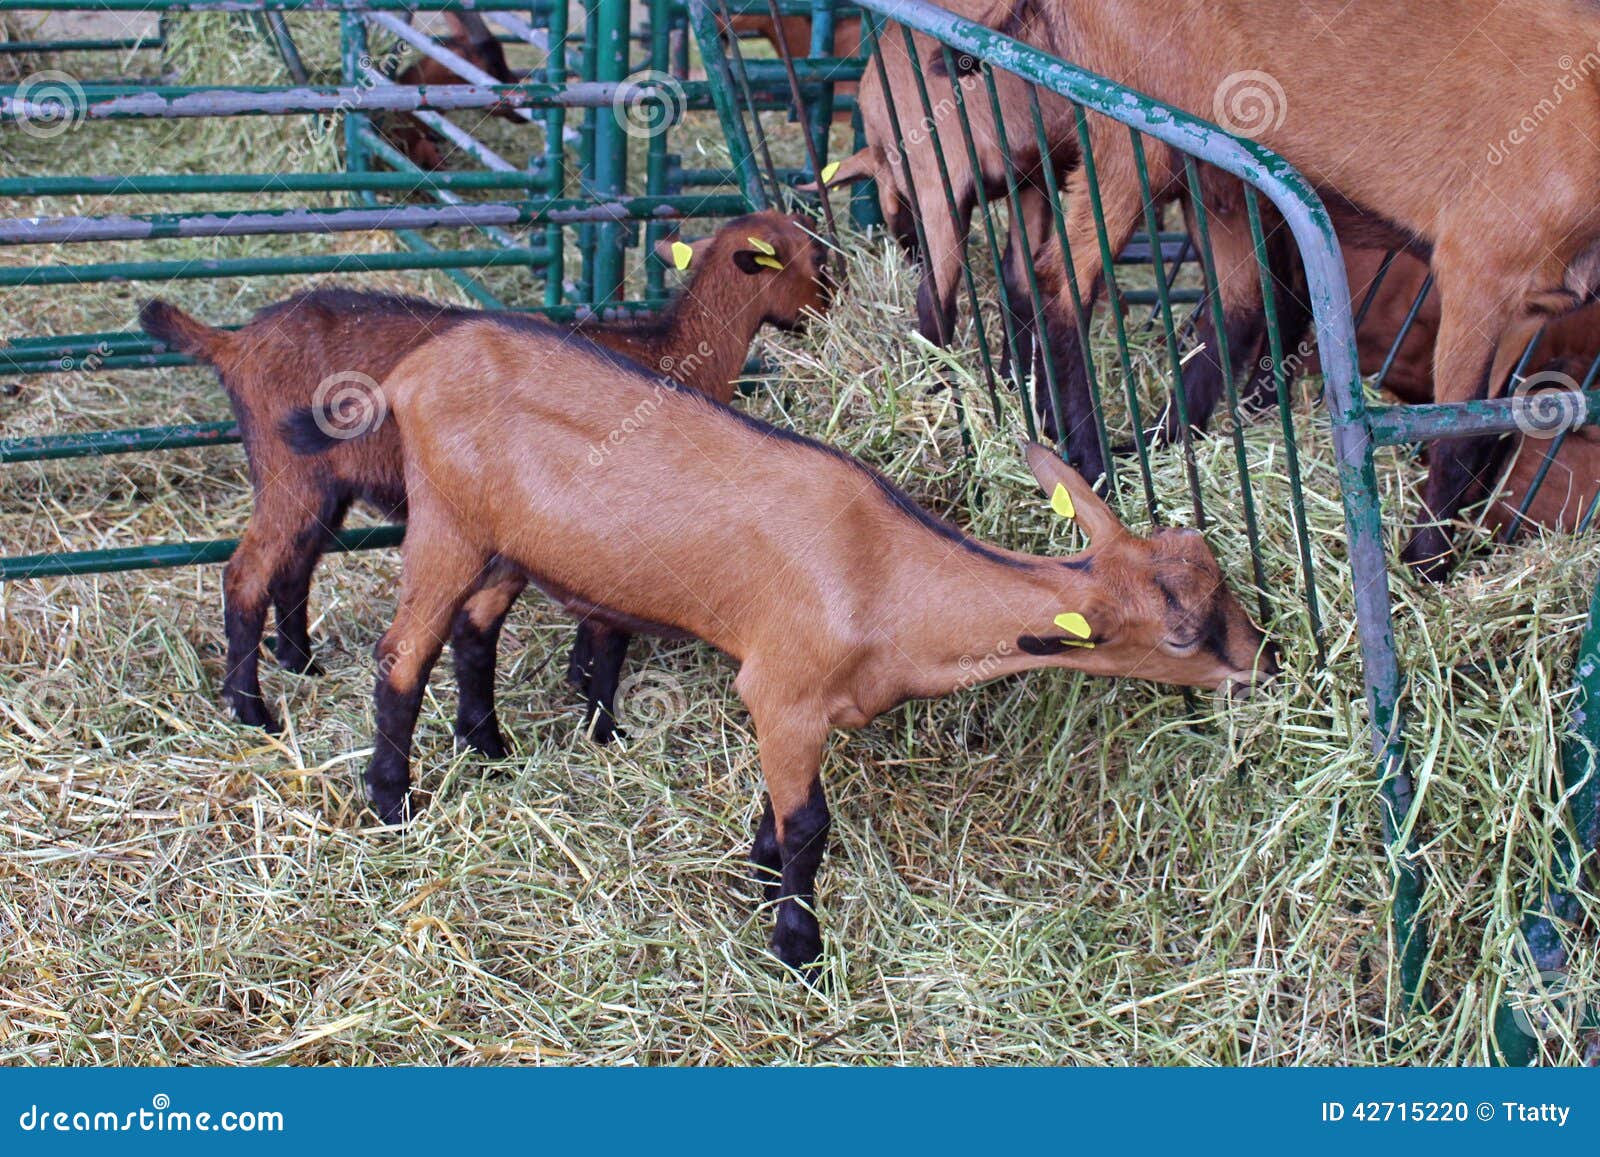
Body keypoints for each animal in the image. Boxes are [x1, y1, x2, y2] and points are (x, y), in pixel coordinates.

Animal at [138, 211, 830, 748]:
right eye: (817, 258)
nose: (827, 311)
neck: (673, 351)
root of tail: (235, 342)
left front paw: (575, 682)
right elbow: (603, 625)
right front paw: (598, 715)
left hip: (322, 482)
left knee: (295, 565)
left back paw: (300, 662)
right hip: (291, 473)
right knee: (247, 573)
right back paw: (252, 709)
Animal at [284, 314, 1276, 971]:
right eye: (1185, 633)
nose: (1262, 662)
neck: (886, 573)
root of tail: (412, 371)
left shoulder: (801, 708)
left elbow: (782, 808)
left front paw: (762, 873)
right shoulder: (785, 689)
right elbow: (812, 825)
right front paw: (797, 941)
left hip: (505, 542)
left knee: (475, 629)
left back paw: (487, 744)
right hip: (444, 522)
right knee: (402, 650)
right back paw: (392, 800)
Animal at [1001, 0, 1600, 579]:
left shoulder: (1529, 307)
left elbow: (1493, 422)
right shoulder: (1478, 269)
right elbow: (1458, 433)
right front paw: (1424, 567)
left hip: (1212, 166)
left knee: (1235, 304)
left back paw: (1158, 439)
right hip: (1132, 132)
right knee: (1060, 279)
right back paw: (1090, 462)